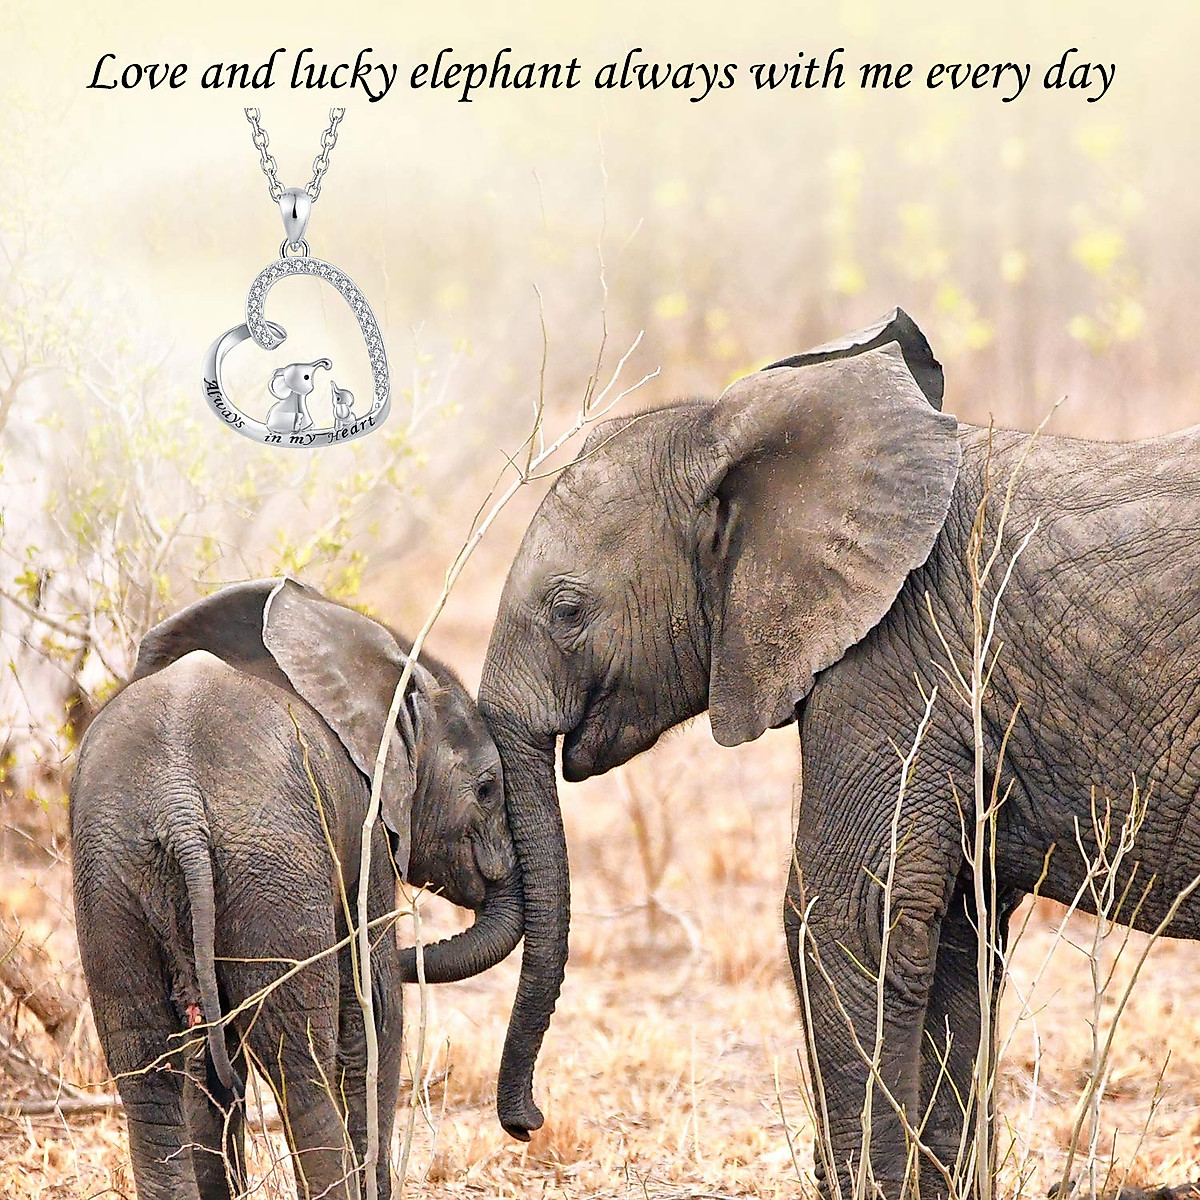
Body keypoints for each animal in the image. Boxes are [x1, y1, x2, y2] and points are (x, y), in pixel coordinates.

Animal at [70, 578, 523, 1200]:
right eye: (487, 788)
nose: (525, 1129)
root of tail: (177, 801)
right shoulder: (366, 832)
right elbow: (374, 1006)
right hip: (266, 866)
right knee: (297, 1060)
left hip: (112, 873)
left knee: (148, 1065)